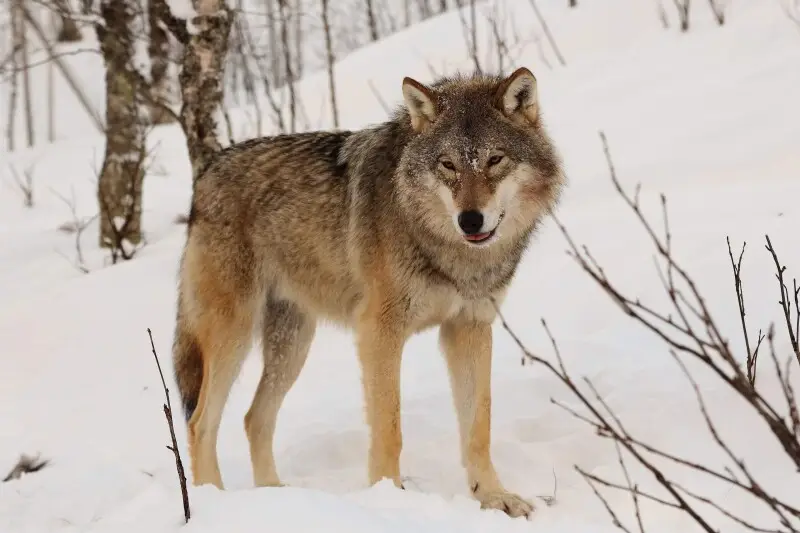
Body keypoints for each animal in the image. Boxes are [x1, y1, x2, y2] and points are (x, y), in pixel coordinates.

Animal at [172, 66, 565, 518]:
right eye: (448, 165)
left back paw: (276, 496)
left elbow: (478, 427)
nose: (469, 220)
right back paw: (212, 503)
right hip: (233, 337)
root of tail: (205, 173)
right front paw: (390, 498)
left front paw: (494, 497)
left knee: (254, 418)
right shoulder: (379, 332)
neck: (447, 250)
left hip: (292, 345)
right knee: (201, 422)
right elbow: (389, 427)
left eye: (494, 160)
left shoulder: (469, 328)